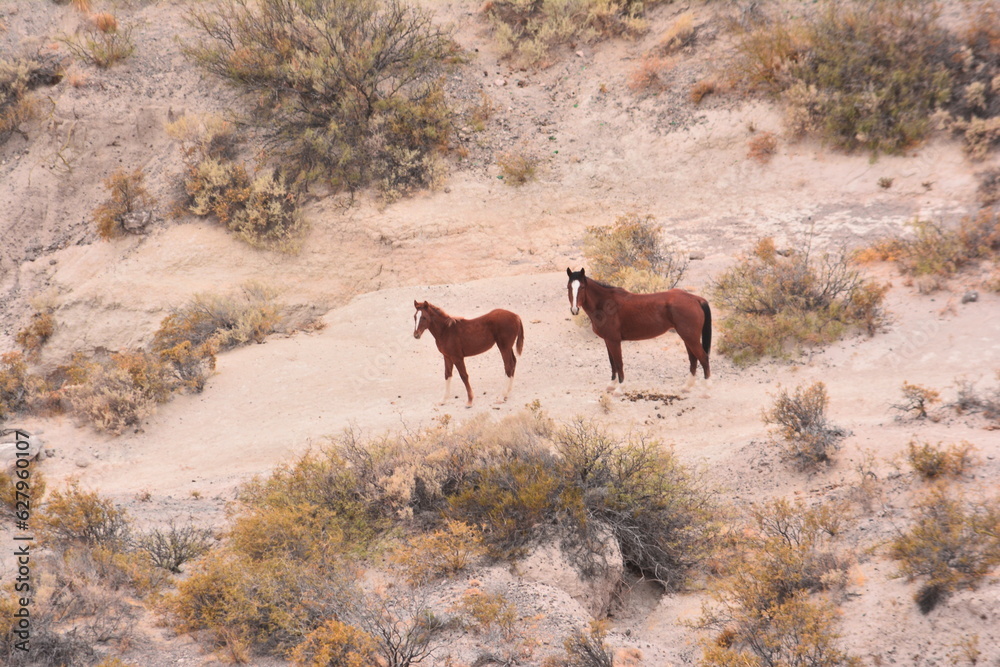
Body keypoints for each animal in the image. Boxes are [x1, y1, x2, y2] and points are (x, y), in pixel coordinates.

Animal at [566, 268, 711, 393]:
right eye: (568, 287)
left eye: (582, 287)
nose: (574, 310)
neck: (605, 304)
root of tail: (696, 299)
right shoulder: (608, 340)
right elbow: (612, 363)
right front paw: (612, 385)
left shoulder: (614, 341)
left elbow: (618, 363)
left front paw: (619, 389)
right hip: (687, 337)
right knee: (693, 359)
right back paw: (687, 387)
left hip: (690, 337)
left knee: (703, 358)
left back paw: (706, 391)